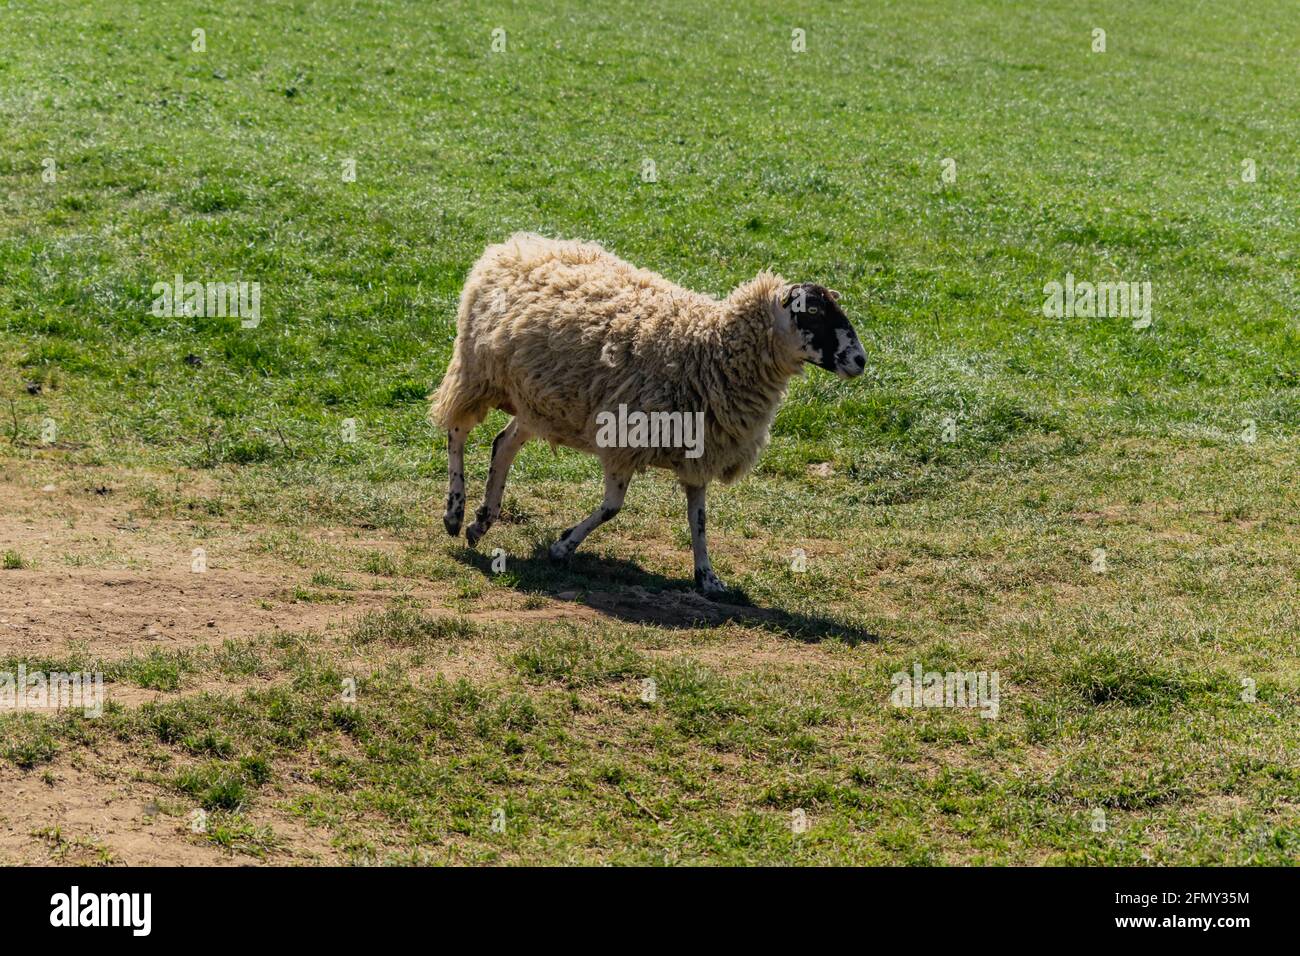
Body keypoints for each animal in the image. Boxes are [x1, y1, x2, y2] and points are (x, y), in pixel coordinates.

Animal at [429, 233, 866, 595]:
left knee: (503, 444)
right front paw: (562, 547)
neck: (706, 347)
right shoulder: (626, 440)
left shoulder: (698, 452)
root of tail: (514, 245)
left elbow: (698, 519)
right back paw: (455, 512)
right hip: (477, 372)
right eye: (812, 312)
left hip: (536, 401)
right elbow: (611, 507)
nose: (861, 360)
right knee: (456, 430)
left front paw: (708, 578)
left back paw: (482, 521)